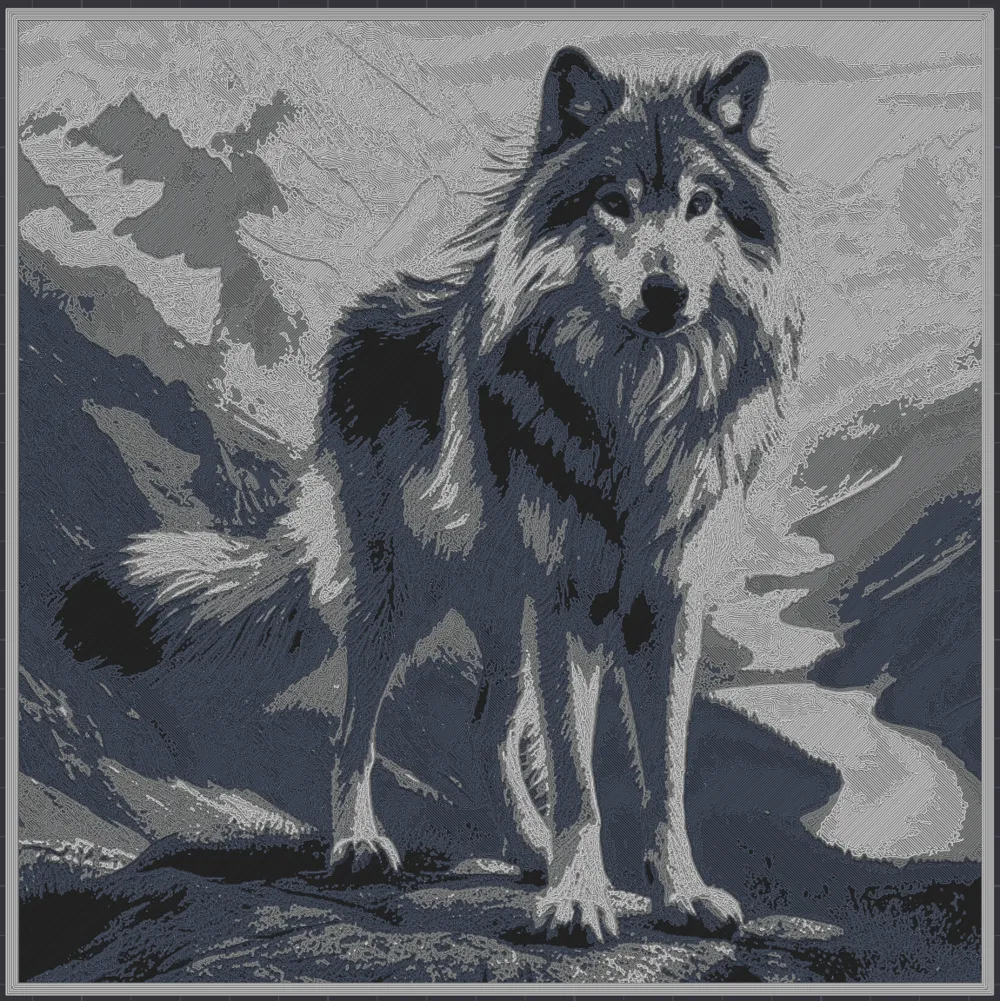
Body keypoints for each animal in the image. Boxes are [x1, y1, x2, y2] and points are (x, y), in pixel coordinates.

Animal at [58, 46, 802, 942]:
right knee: (354, 731)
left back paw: (527, 852)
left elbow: (662, 776)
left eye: (699, 205)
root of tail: (357, 322)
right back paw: (360, 844)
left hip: (501, 614)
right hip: (399, 599)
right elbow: (578, 777)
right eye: (615, 203)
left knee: (487, 731)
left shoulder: (667, 605)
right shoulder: (564, 603)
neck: (635, 410)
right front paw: (577, 896)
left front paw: (679, 891)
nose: (667, 294)